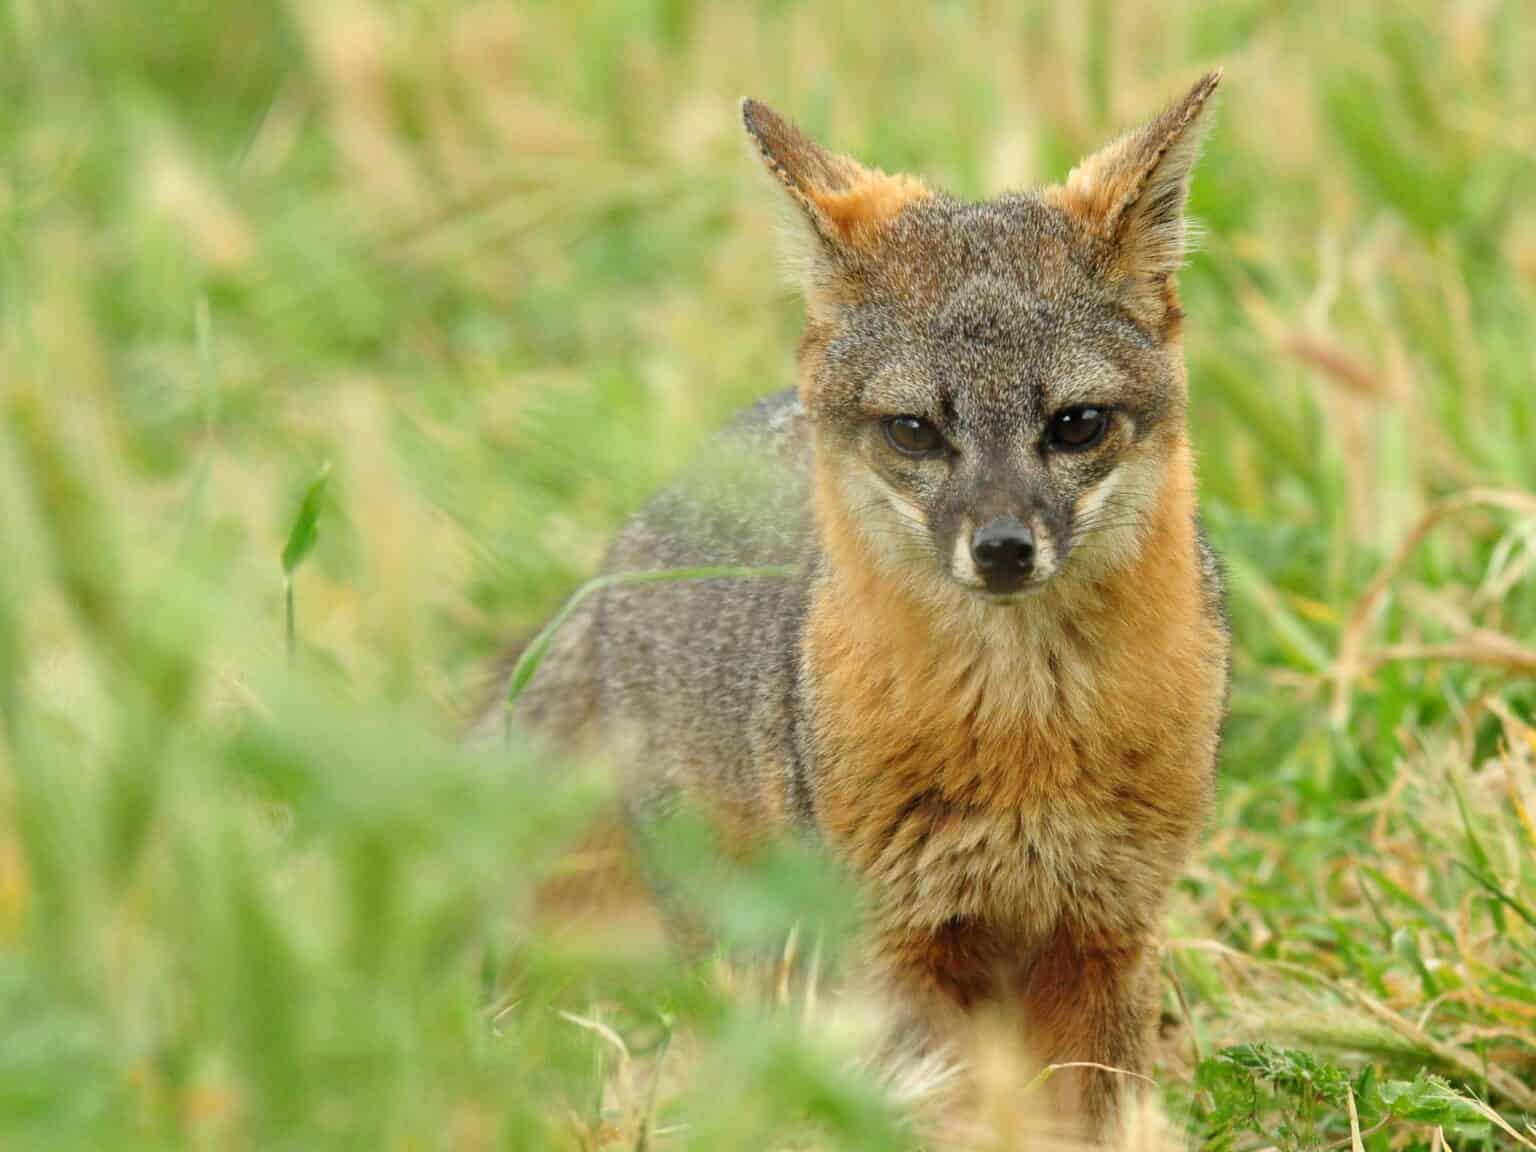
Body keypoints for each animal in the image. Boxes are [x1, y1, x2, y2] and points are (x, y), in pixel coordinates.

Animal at [490, 71, 1231, 1138]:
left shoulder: (1103, 934)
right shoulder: (902, 946)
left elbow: (1090, 1119)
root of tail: (628, 542)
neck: (1026, 737)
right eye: (914, 431)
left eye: (1076, 425)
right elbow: (944, 1118)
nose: (1002, 549)